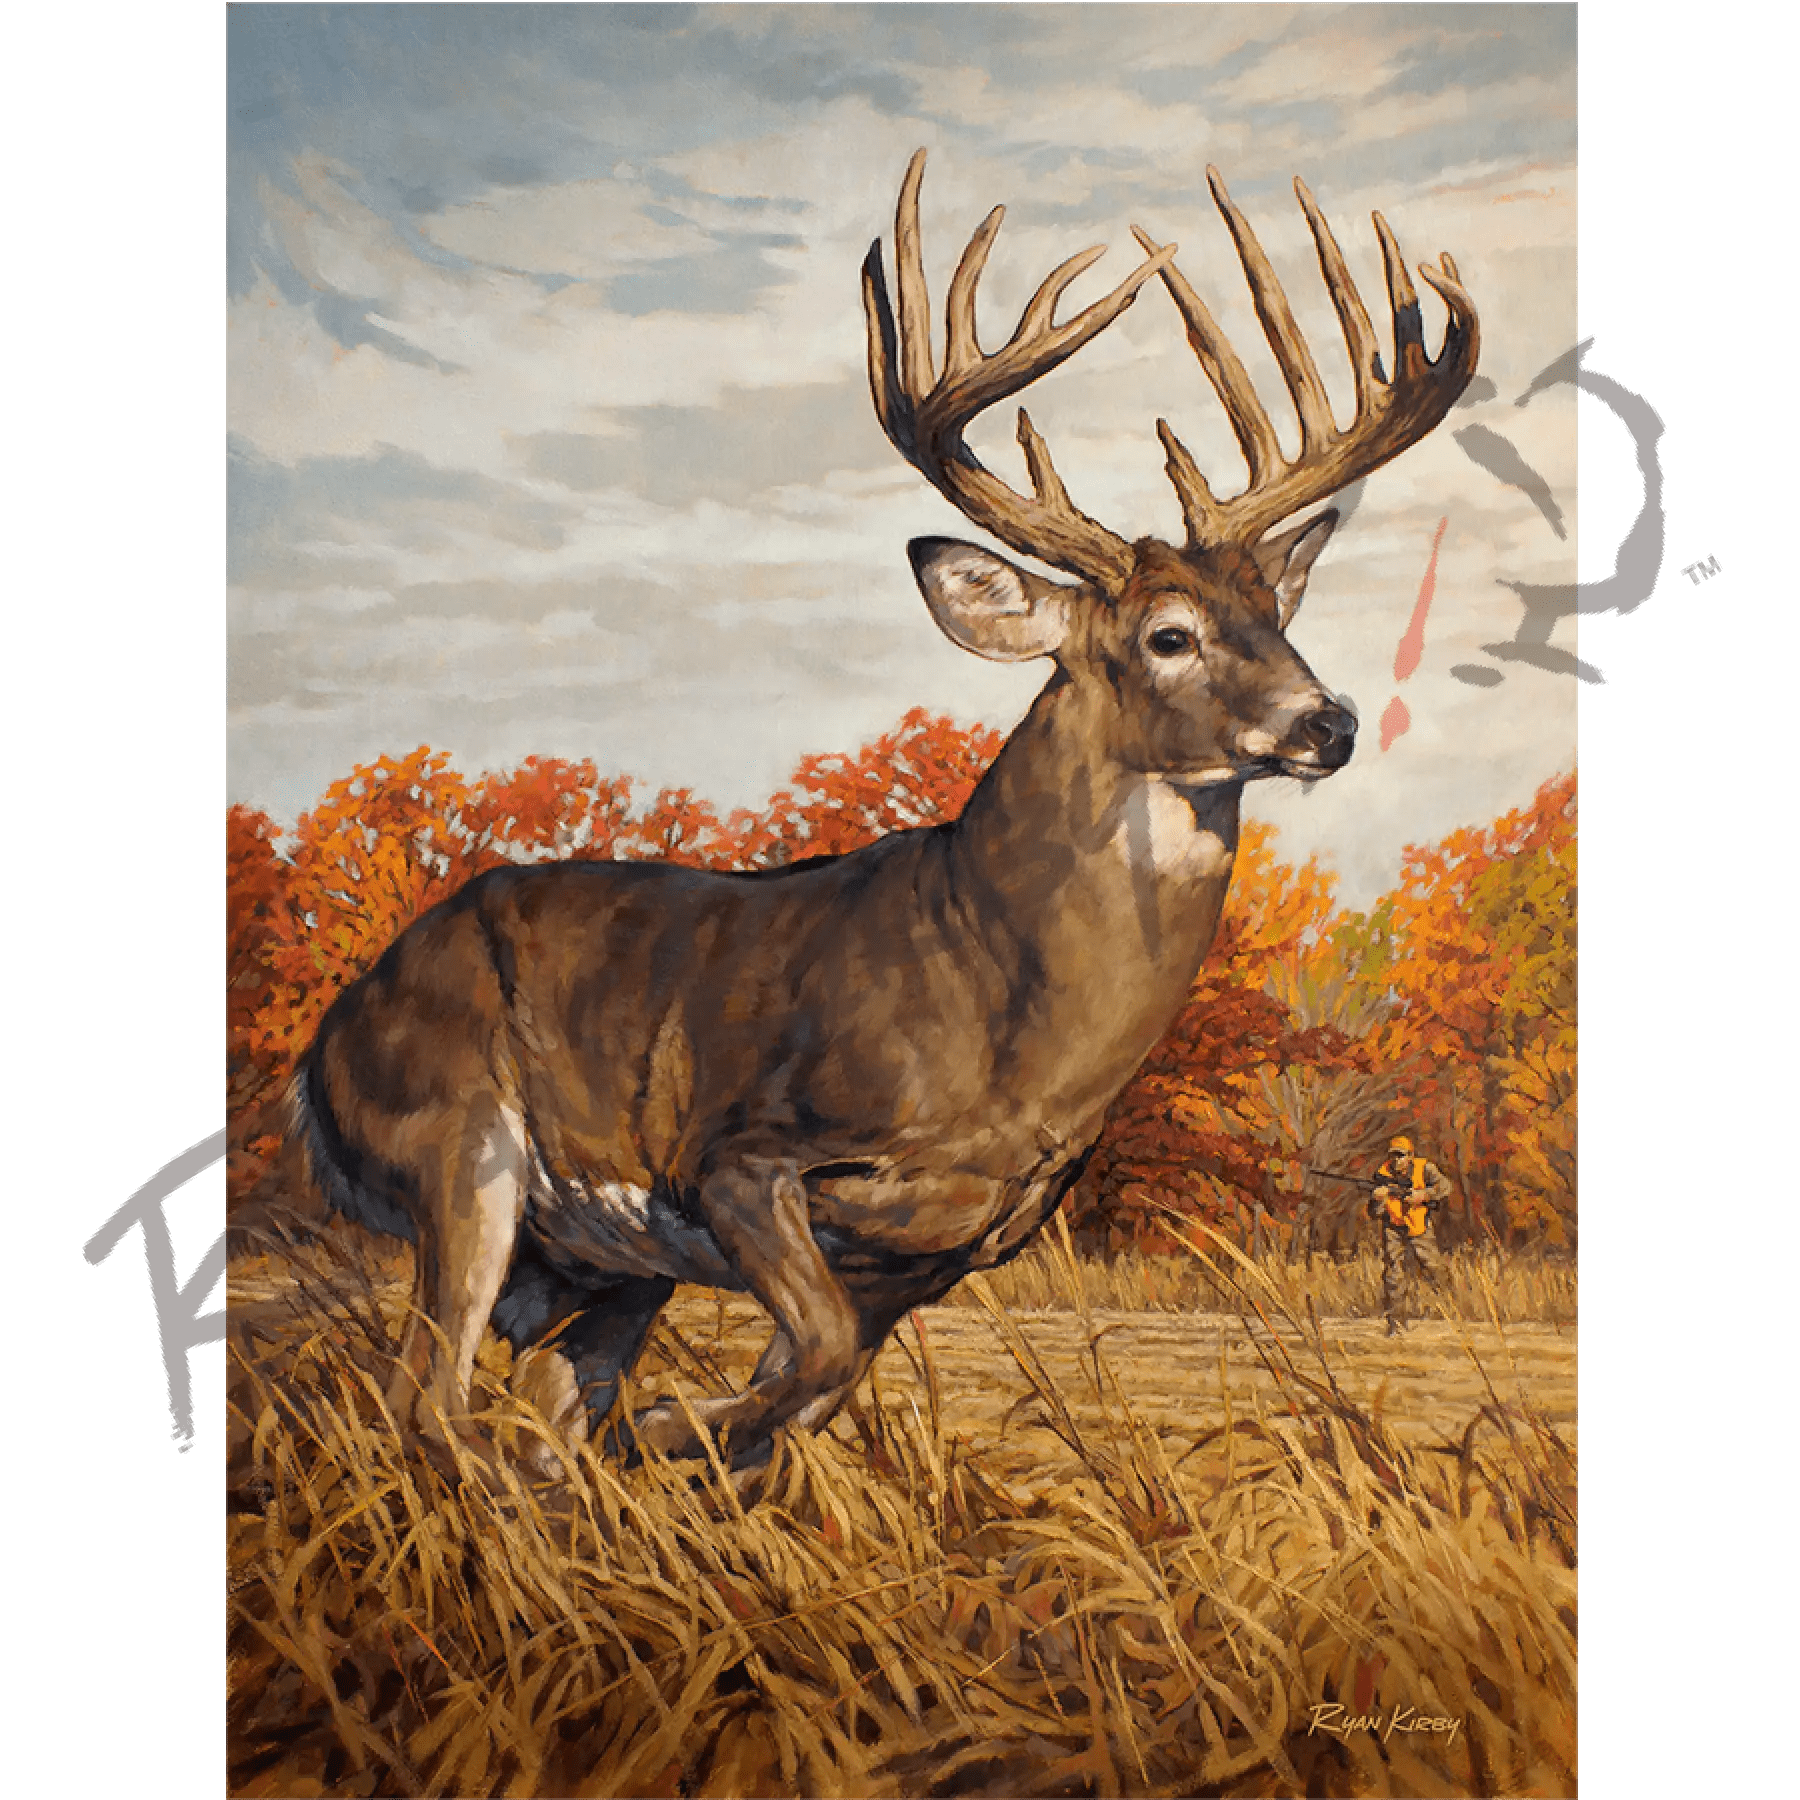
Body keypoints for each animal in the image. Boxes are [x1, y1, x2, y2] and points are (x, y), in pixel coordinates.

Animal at [247, 149, 1477, 1476]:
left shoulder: (948, 1251)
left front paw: (691, 1442)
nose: (1329, 722)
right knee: (426, 1400)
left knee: (528, 1419)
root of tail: (326, 1045)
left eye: (1278, 613)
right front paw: (678, 1425)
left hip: (598, 1263)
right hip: (456, 1143)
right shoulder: (735, 1158)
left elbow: (811, 1388)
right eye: (1170, 634)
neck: (1008, 1039)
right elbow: (811, 1358)